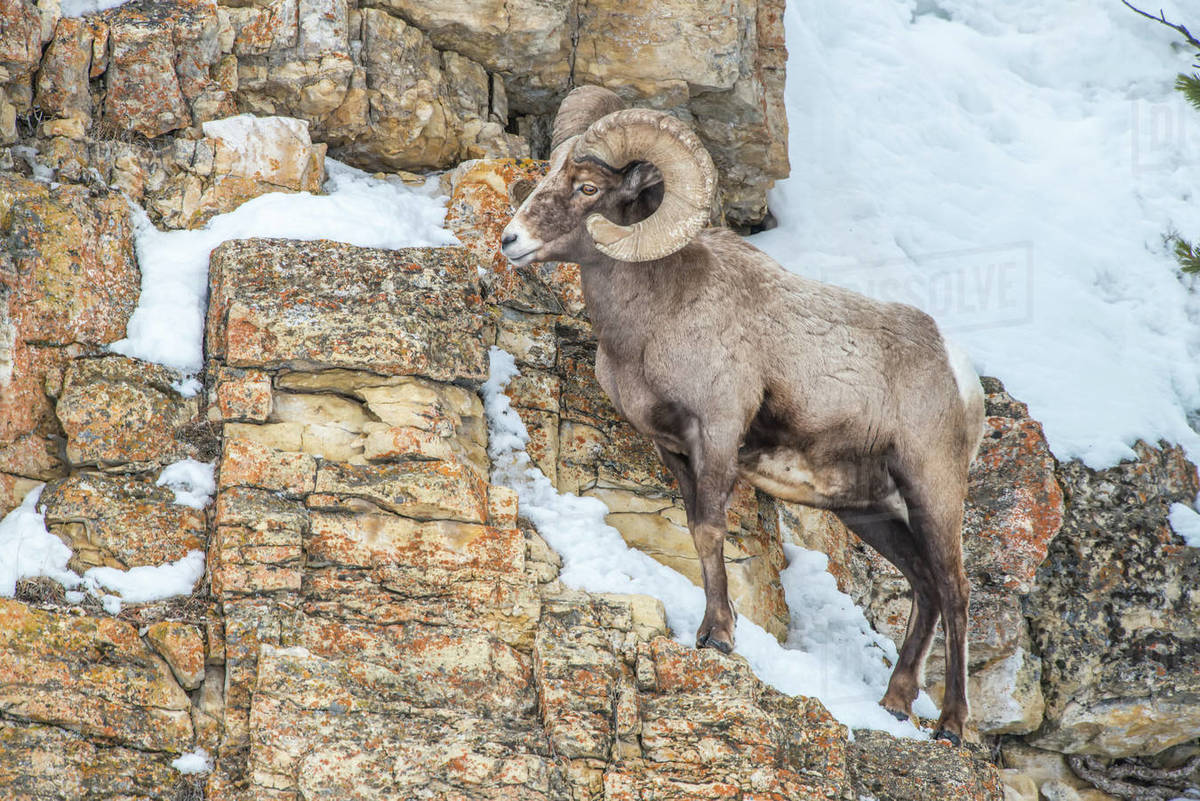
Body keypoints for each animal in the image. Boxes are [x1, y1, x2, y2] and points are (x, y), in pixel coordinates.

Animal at [500, 86, 986, 744]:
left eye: (587, 188)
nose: (510, 240)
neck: (652, 323)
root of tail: (960, 372)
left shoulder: (716, 436)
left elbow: (710, 531)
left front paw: (719, 639)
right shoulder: (672, 448)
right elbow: (697, 530)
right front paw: (716, 631)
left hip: (933, 490)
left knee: (955, 592)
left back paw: (952, 727)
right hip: (867, 510)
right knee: (926, 587)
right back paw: (894, 703)